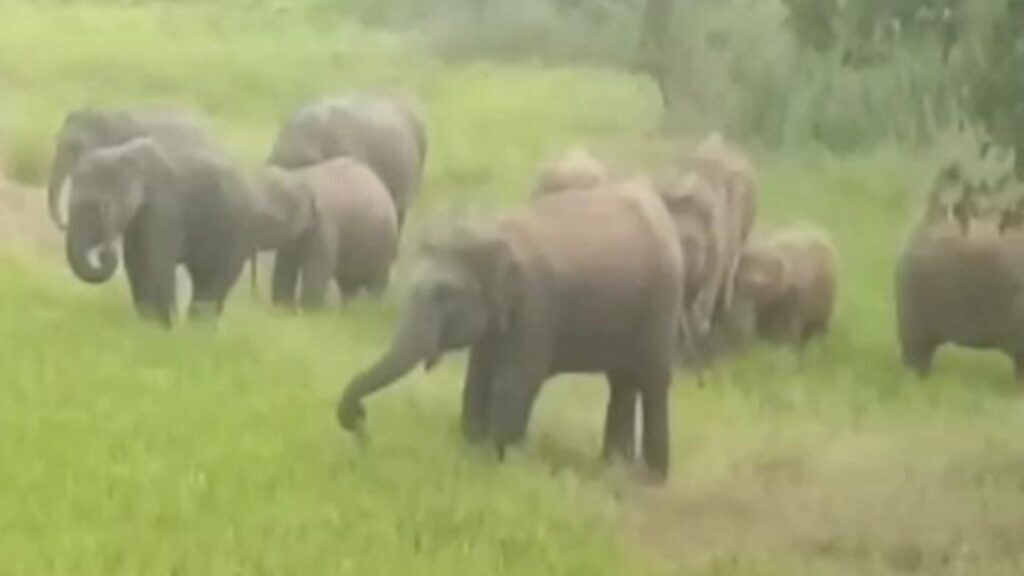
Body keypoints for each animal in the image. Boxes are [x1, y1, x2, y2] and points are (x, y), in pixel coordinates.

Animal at [65, 137, 256, 327]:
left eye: (101, 208)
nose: (104, 252)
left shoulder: (165, 208)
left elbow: (157, 262)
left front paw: (164, 326)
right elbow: (136, 262)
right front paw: (148, 323)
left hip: (238, 229)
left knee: (215, 279)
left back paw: (199, 327)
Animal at [255, 157, 399, 310]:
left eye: (269, 217)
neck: (300, 178)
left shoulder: (326, 226)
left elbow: (317, 270)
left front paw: (311, 311)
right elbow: (285, 266)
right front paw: (283, 307)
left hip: (386, 245)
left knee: (376, 284)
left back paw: (371, 307)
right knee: (348, 285)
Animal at [337, 180, 685, 480]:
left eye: (445, 294)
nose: (360, 424)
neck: (493, 235)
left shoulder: (535, 306)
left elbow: (516, 381)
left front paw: (498, 462)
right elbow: (477, 376)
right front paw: (470, 448)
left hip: (661, 306)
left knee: (652, 381)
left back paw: (650, 477)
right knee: (622, 382)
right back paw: (612, 466)